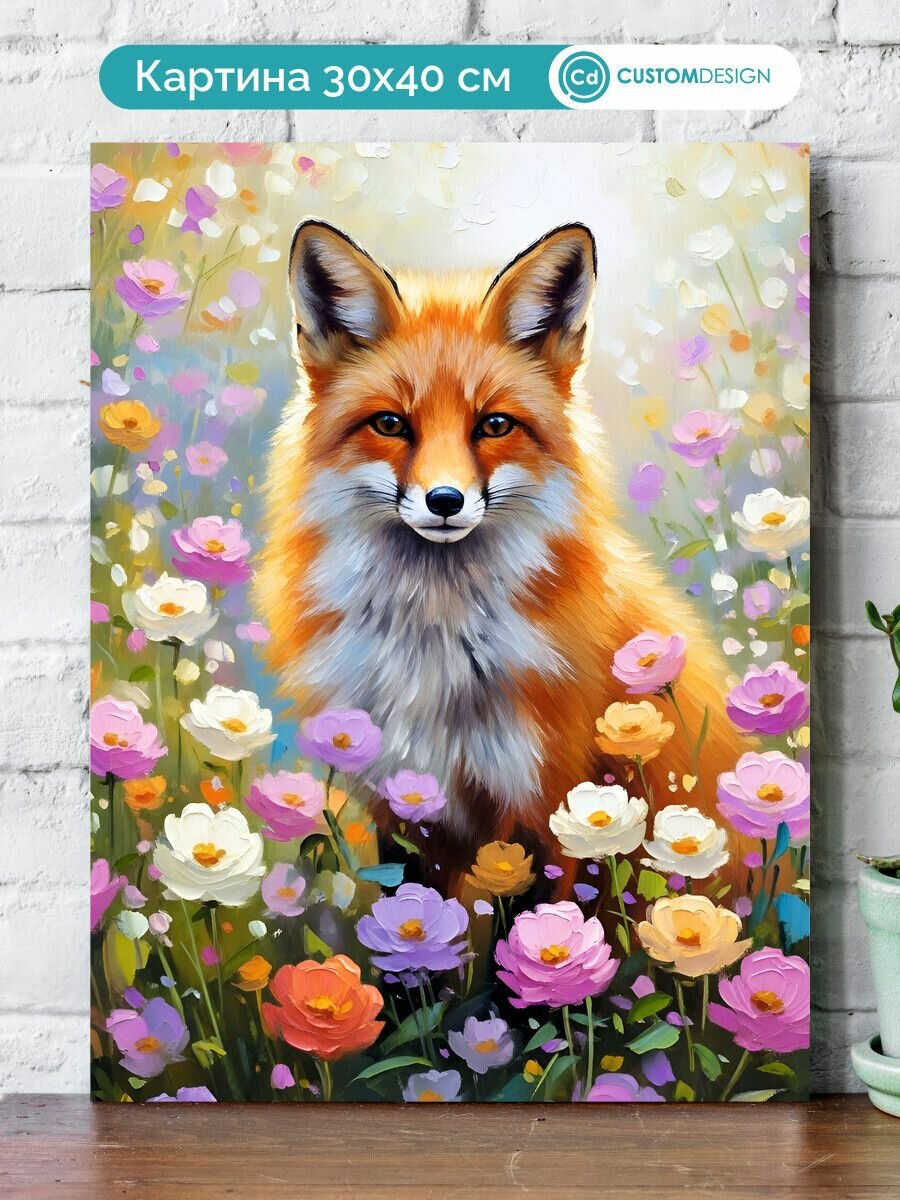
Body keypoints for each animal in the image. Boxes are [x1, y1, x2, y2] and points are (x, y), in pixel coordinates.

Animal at [255, 219, 752, 899]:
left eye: (493, 425)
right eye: (390, 424)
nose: (444, 500)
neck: (436, 649)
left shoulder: (556, 810)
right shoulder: (406, 805)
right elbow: (413, 923)